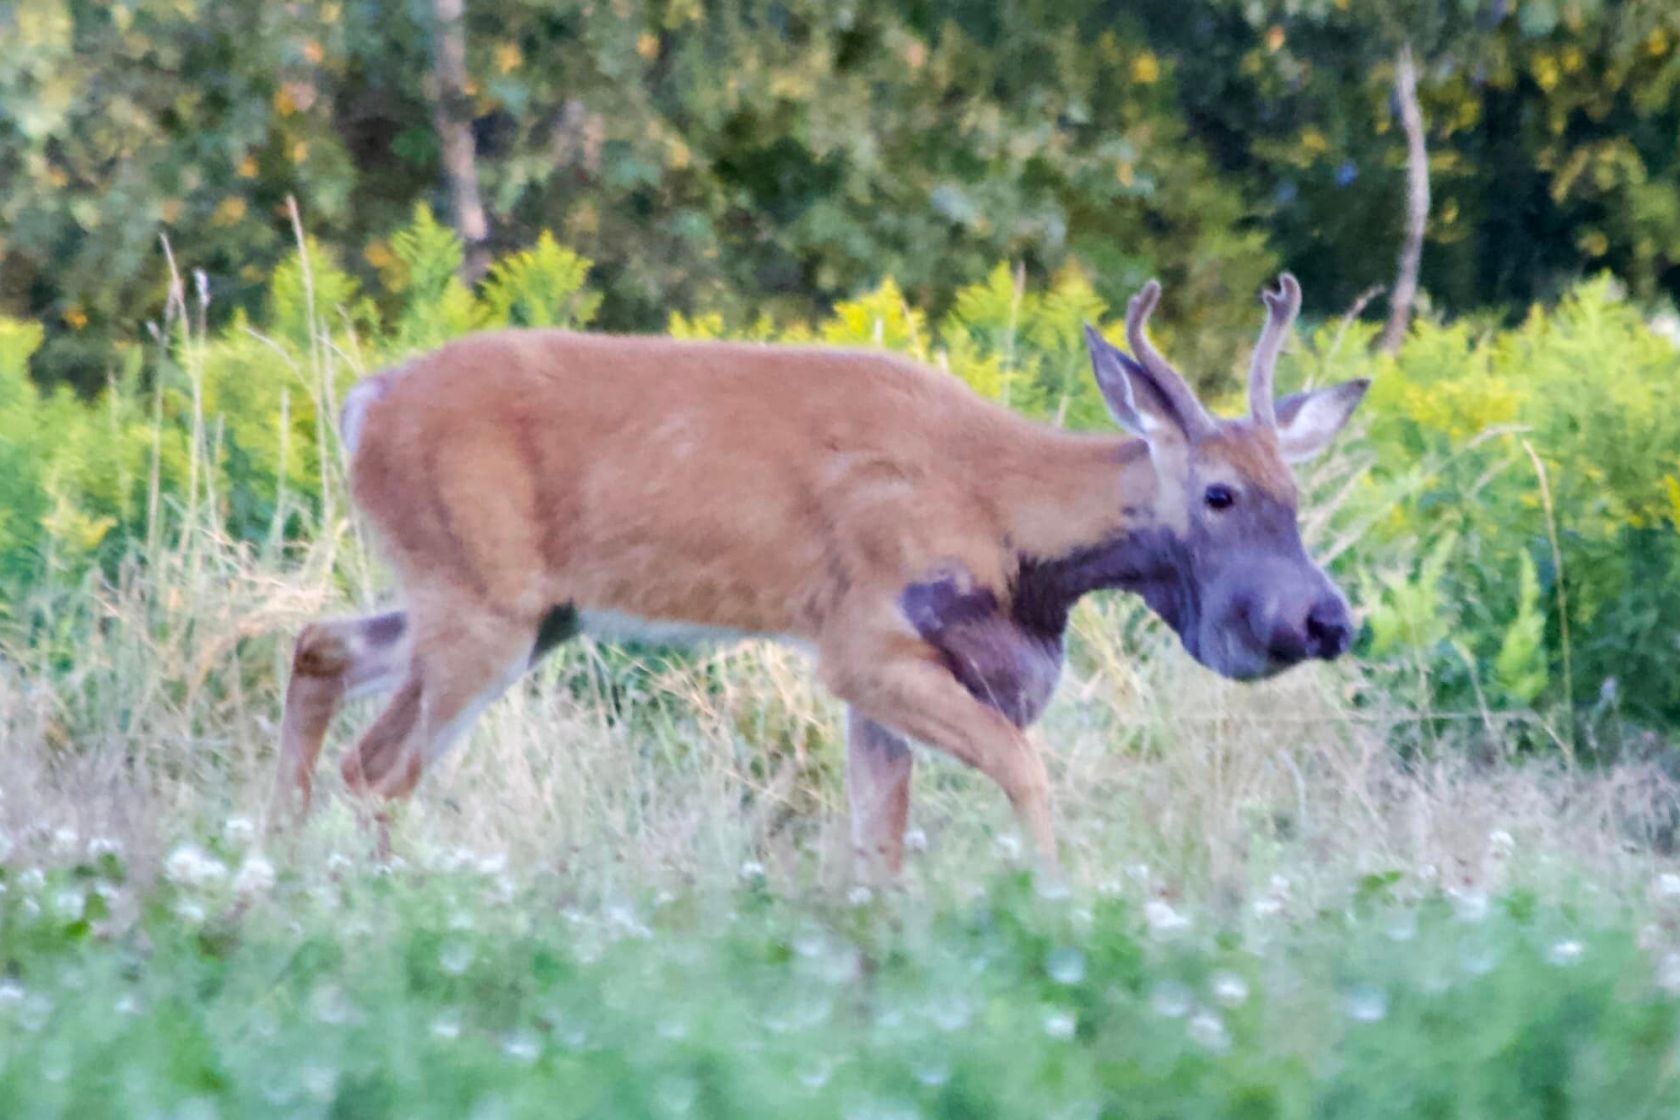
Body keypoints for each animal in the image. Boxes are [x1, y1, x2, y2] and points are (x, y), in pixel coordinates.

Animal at [271, 274, 1367, 878]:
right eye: (1221, 493)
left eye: (1295, 495)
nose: (1327, 620)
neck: (1006, 522)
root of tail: (365, 406)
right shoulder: (865, 641)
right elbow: (1021, 768)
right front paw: (1060, 909)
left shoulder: (881, 689)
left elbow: (878, 848)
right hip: (484, 605)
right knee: (378, 768)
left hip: (527, 611)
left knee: (320, 647)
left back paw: (271, 867)